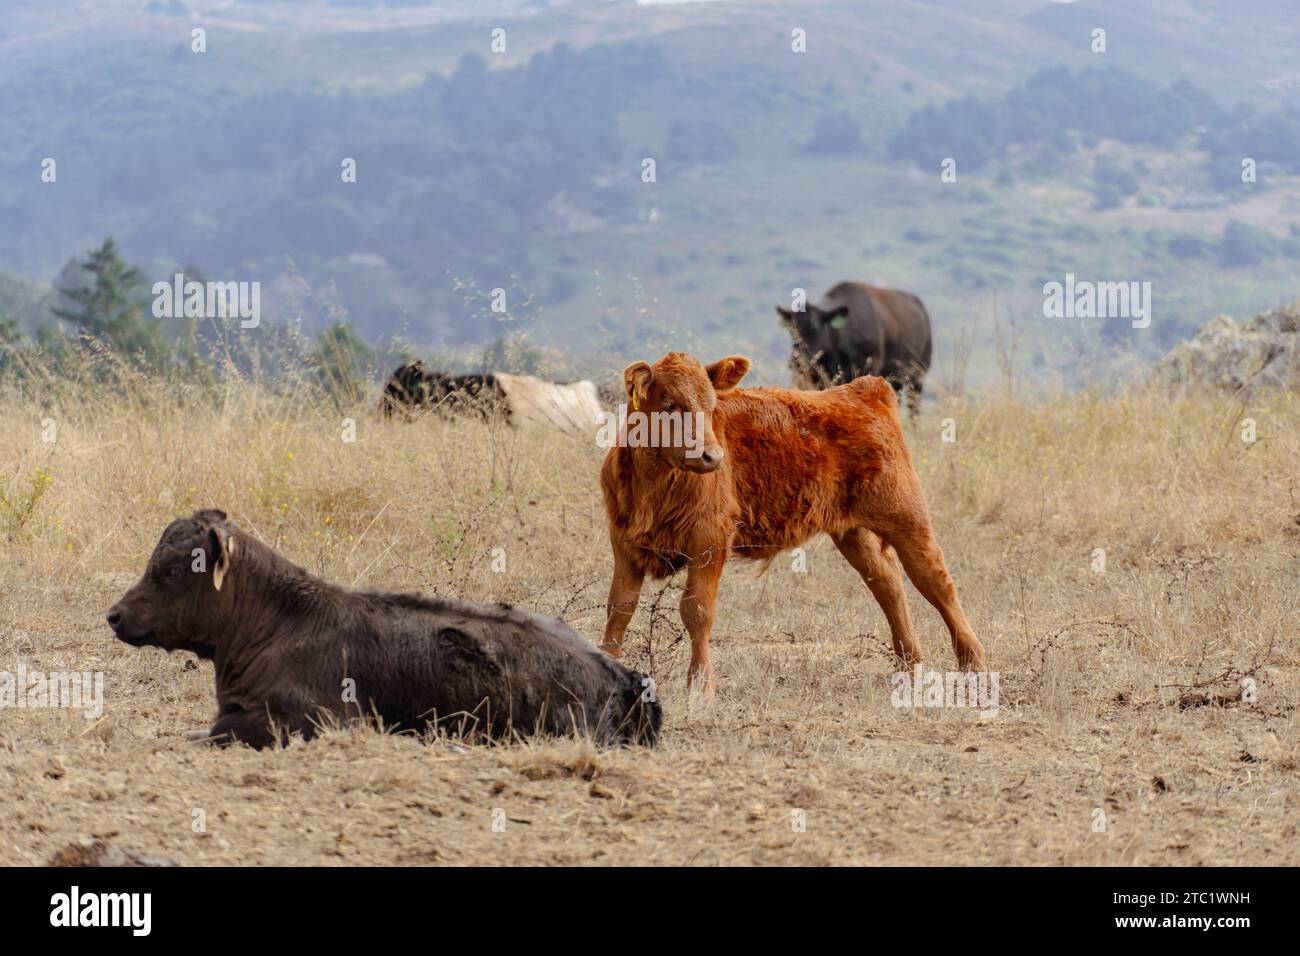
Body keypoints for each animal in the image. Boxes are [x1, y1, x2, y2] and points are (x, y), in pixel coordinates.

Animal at [107, 509, 661, 748]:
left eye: (170, 571)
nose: (114, 614)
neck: (275, 621)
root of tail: (627, 676)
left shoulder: (311, 719)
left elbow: (218, 731)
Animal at [599, 352, 985, 699]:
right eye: (669, 406)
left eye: (711, 405)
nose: (713, 456)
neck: (654, 485)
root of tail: (861, 390)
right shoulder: (623, 543)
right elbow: (619, 608)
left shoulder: (710, 541)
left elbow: (697, 610)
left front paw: (700, 689)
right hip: (853, 533)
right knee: (888, 584)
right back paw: (910, 664)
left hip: (906, 516)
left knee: (935, 580)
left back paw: (973, 662)